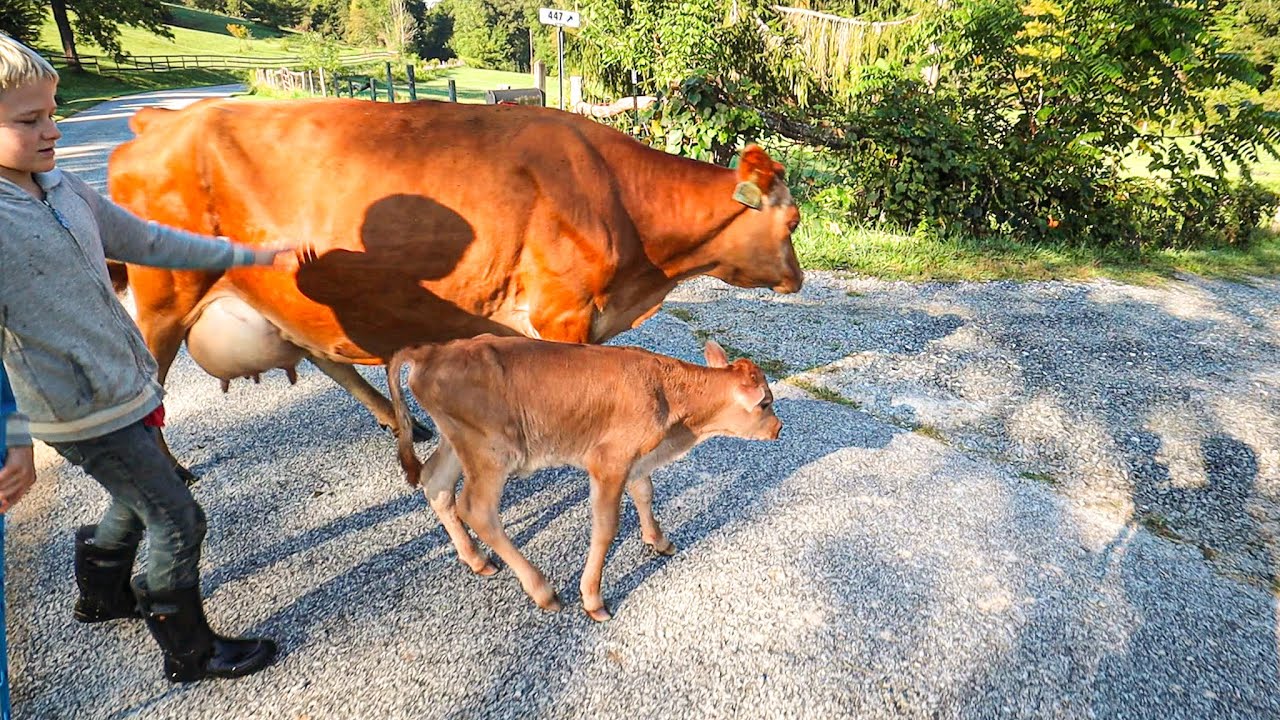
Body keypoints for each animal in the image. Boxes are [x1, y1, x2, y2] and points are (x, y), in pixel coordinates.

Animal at [106, 98, 803, 479]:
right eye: (793, 221)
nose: (798, 279)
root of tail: (165, 118)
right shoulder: (565, 312)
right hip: (165, 292)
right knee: (149, 381)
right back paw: (171, 467)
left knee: (323, 353)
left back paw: (403, 423)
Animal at [387, 335, 782, 620]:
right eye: (765, 403)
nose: (779, 428)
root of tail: (432, 351)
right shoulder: (608, 462)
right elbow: (606, 527)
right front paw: (593, 598)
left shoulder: (634, 459)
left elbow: (645, 492)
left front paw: (659, 540)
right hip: (493, 452)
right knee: (477, 510)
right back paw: (542, 590)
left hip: (457, 443)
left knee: (436, 485)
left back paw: (476, 560)